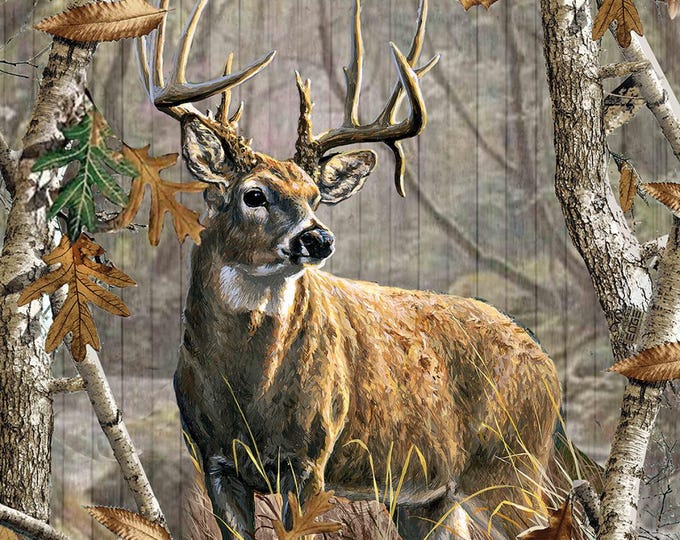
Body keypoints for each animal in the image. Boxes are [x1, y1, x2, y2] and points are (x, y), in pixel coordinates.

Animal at [137, 1, 561, 538]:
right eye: (253, 194)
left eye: (314, 197)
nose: (318, 238)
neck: (246, 393)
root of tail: (547, 363)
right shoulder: (214, 463)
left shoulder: (311, 458)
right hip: (431, 497)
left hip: (510, 464)